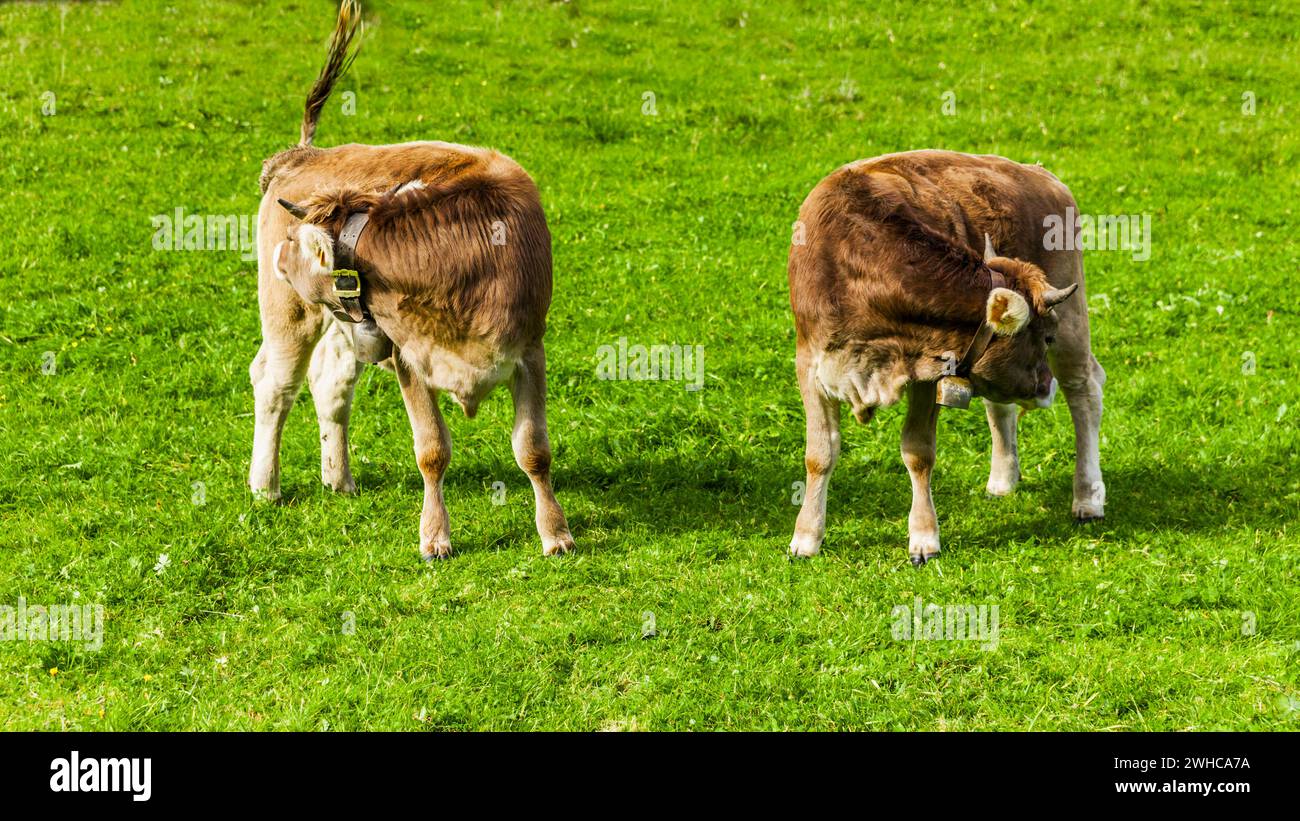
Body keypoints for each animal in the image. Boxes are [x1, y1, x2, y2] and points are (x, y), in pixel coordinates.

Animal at [248, 0, 575, 559]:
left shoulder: (530, 349)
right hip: (291, 315)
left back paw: (339, 480)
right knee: (274, 382)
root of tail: (306, 154)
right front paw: (435, 536)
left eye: (303, 244)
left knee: (329, 382)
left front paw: (555, 534)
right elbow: (432, 450)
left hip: (345, 326)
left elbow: (534, 450)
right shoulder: (406, 356)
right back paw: (265, 486)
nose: (280, 254)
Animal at [787, 150, 1105, 565]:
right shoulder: (811, 364)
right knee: (999, 404)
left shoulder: (925, 370)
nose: (1044, 387)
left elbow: (918, 451)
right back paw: (1003, 479)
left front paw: (924, 537)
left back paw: (1088, 496)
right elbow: (819, 454)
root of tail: (1039, 174)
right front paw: (806, 536)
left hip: (1073, 325)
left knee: (1086, 392)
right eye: (1043, 334)